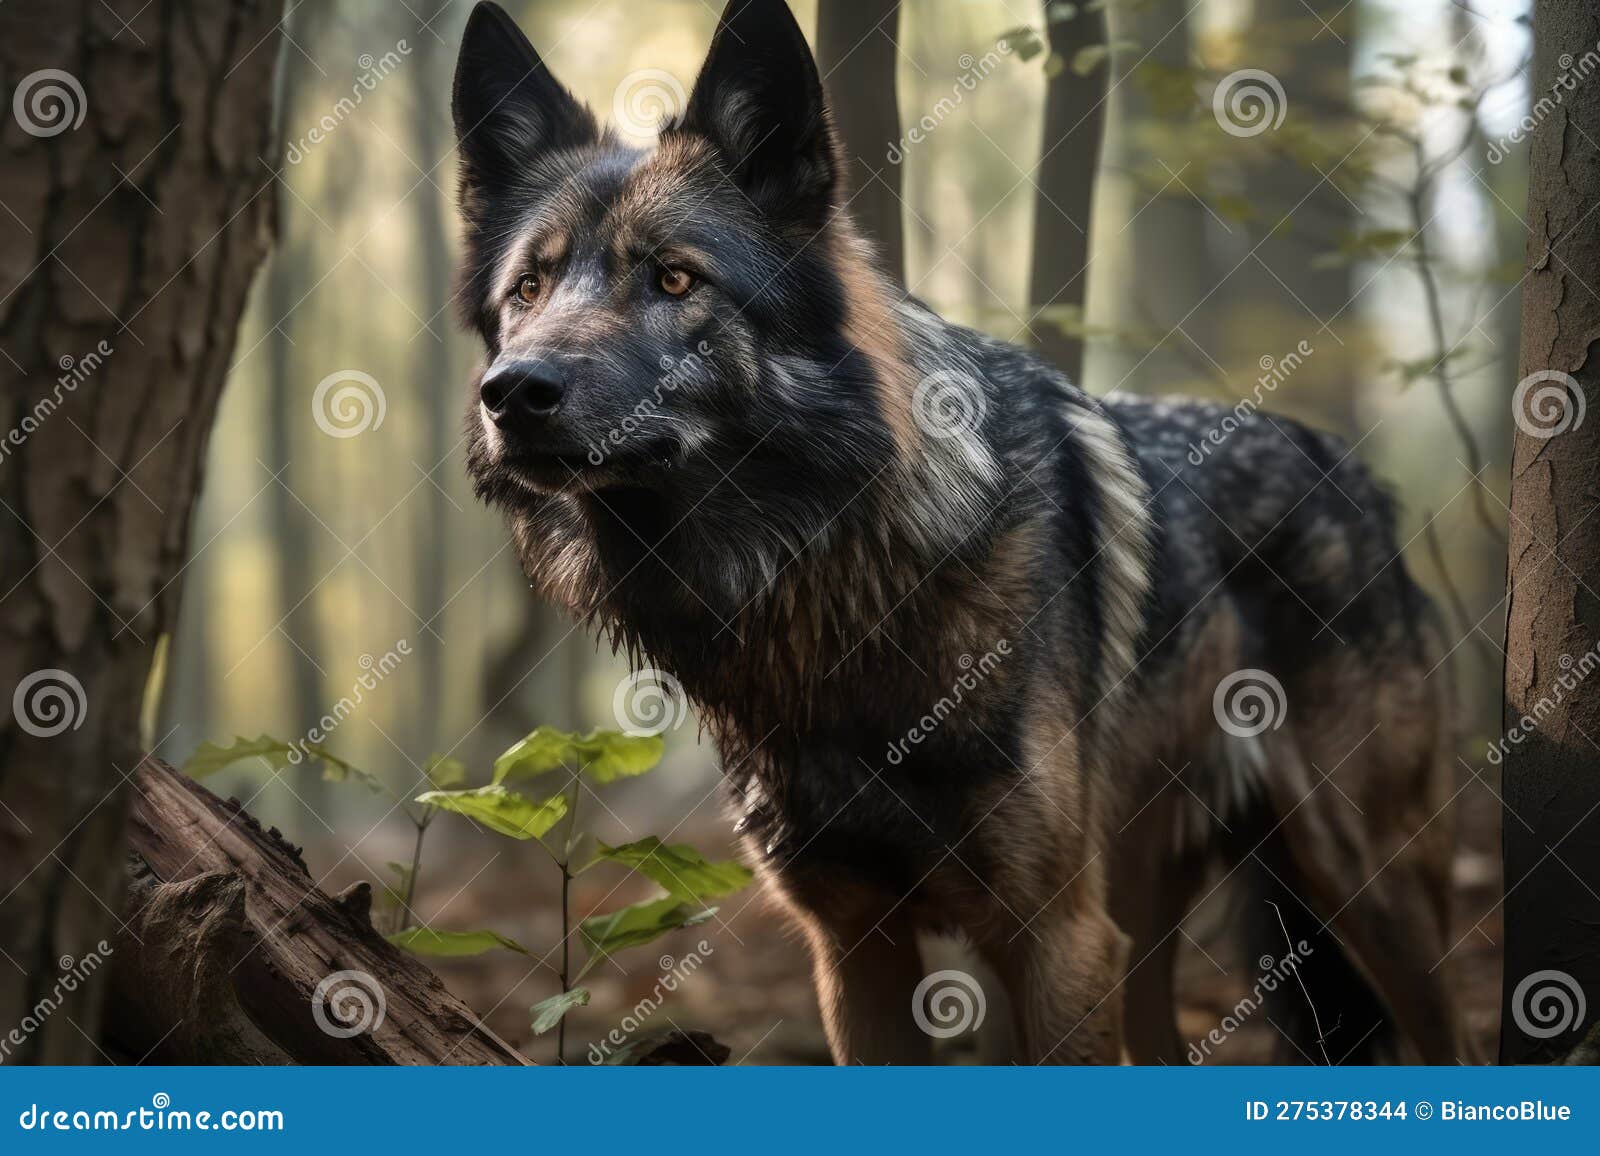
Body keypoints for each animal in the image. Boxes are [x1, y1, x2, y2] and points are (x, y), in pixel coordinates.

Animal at [451, 0, 1463, 1064]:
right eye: (528, 289)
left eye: (676, 280)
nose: (512, 393)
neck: (831, 583)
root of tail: (1350, 469)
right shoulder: (854, 947)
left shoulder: (1057, 938)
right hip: (1152, 927)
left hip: (1366, 886)